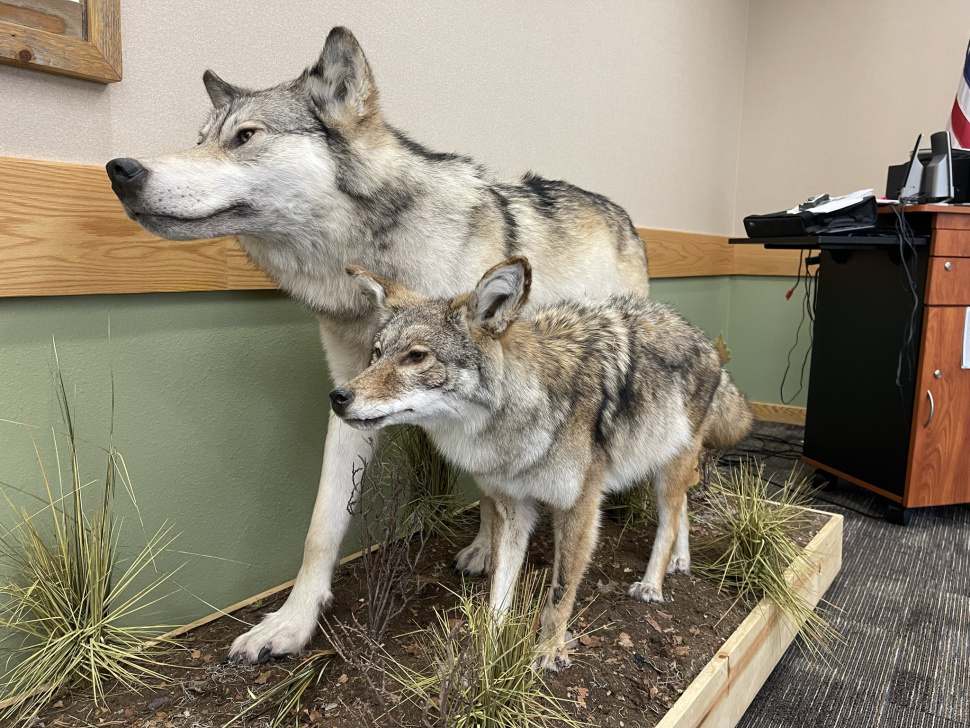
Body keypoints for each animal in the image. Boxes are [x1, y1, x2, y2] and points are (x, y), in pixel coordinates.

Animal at [104, 27, 650, 662]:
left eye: (245, 137)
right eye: (200, 140)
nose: (119, 169)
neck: (368, 273)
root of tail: (623, 214)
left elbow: (493, 496)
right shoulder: (350, 398)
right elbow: (320, 528)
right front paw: (290, 623)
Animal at [331, 256, 753, 670]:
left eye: (416, 356)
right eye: (377, 353)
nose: (338, 396)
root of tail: (706, 342)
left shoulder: (579, 508)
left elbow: (559, 594)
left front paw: (548, 651)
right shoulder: (511, 508)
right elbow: (499, 591)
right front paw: (486, 652)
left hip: (667, 471)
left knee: (669, 519)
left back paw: (653, 583)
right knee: (682, 509)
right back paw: (680, 560)